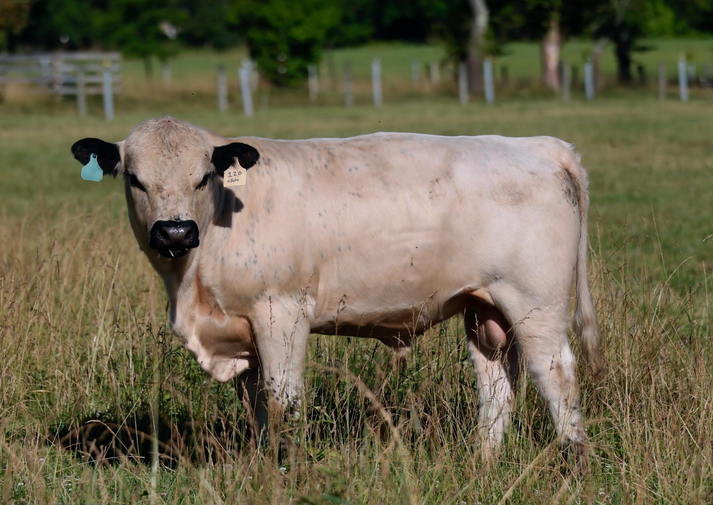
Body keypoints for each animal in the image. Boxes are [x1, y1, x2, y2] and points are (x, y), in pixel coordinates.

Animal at [71, 116, 604, 466]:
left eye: (202, 177)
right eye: (135, 179)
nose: (175, 232)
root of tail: (539, 145)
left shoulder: (281, 313)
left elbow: (283, 401)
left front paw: (288, 470)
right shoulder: (243, 329)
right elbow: (257, 408)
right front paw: (262, 467)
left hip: (535, 303)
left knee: (555, 374)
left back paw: (573, 464)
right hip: (484, 309)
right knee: (496, 383)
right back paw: (483, 460)